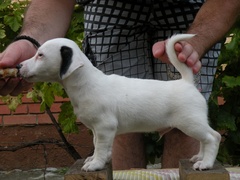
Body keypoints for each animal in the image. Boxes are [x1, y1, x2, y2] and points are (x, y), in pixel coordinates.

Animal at [18, 34, 221, 172]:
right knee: (205, 139)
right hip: (195, 123)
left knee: (213, 137)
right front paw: (94, 159)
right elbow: (96, 144)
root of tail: (186, 82)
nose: (19, 66)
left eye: (40, 55)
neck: (86, 82)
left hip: (190, 123)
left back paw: (205, 163)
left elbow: (100, 147)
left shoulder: (104, 127)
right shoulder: (96, 129)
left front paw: (95, 164)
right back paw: (199, 157)